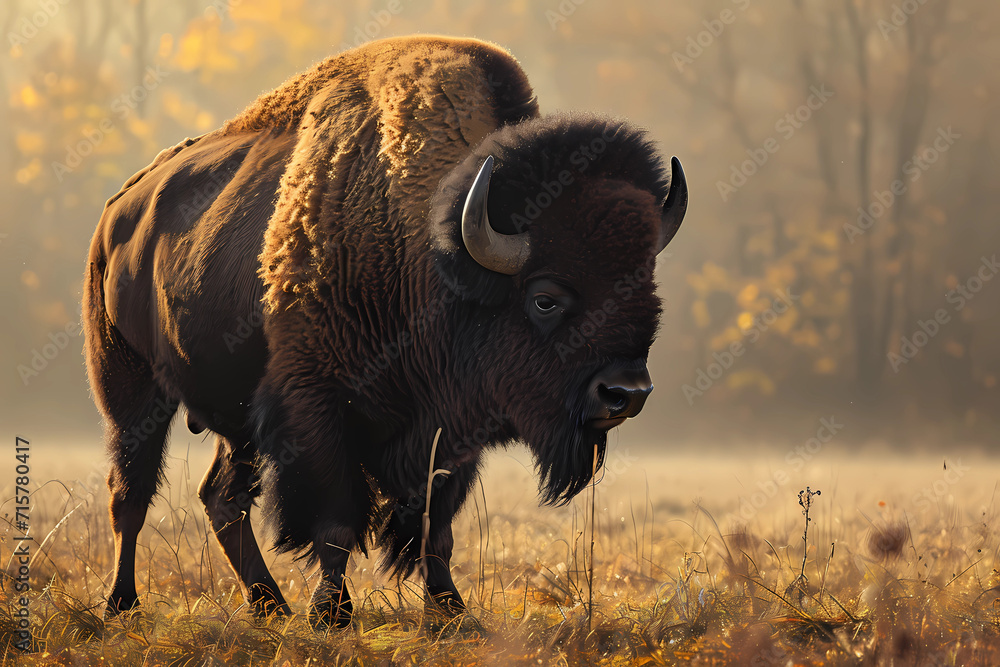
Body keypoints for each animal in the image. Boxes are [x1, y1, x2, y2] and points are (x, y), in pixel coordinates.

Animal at [84, 35, 688, 628]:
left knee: (221, 498)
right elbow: (335, 523)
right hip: (131, 390)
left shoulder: (450, 430)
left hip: (234, 422)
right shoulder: (318, 410)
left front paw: (451, 612)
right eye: (545, 299)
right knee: (130, 493)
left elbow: (435, 529)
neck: (431, 256)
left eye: (646, 289)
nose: (626, 393)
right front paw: (331, 614)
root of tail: (118, 211)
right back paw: (122, 604)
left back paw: (269, 605)